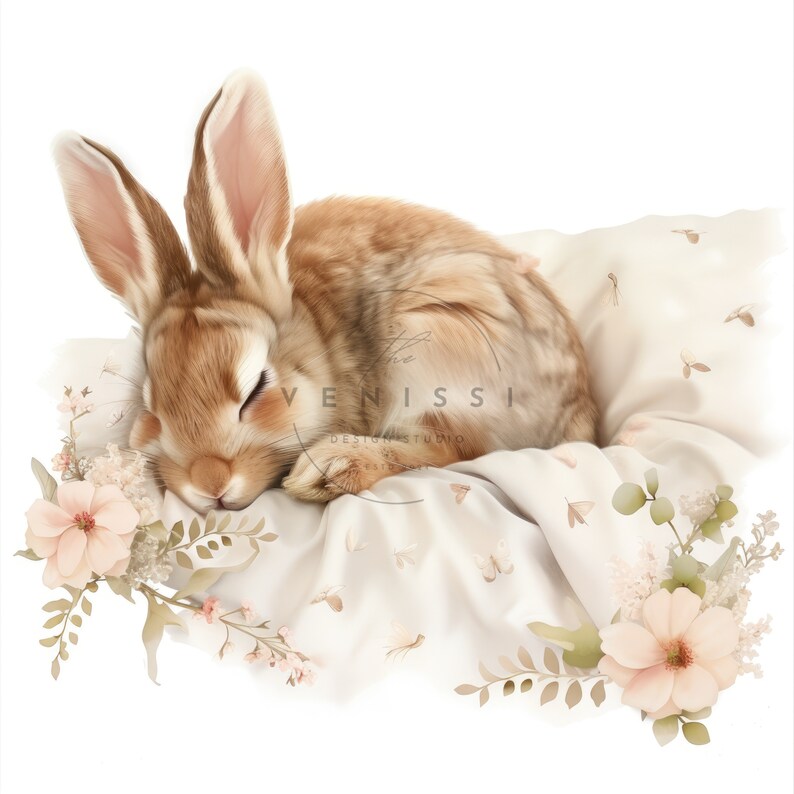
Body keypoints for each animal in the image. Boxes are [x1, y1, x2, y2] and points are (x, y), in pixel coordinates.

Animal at [53, 69, 598, 513]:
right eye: (151, 407)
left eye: (257, 389)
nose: (210, 483)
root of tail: (580, 415)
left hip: (434, 335)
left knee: (460, 449)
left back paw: (328, 469)